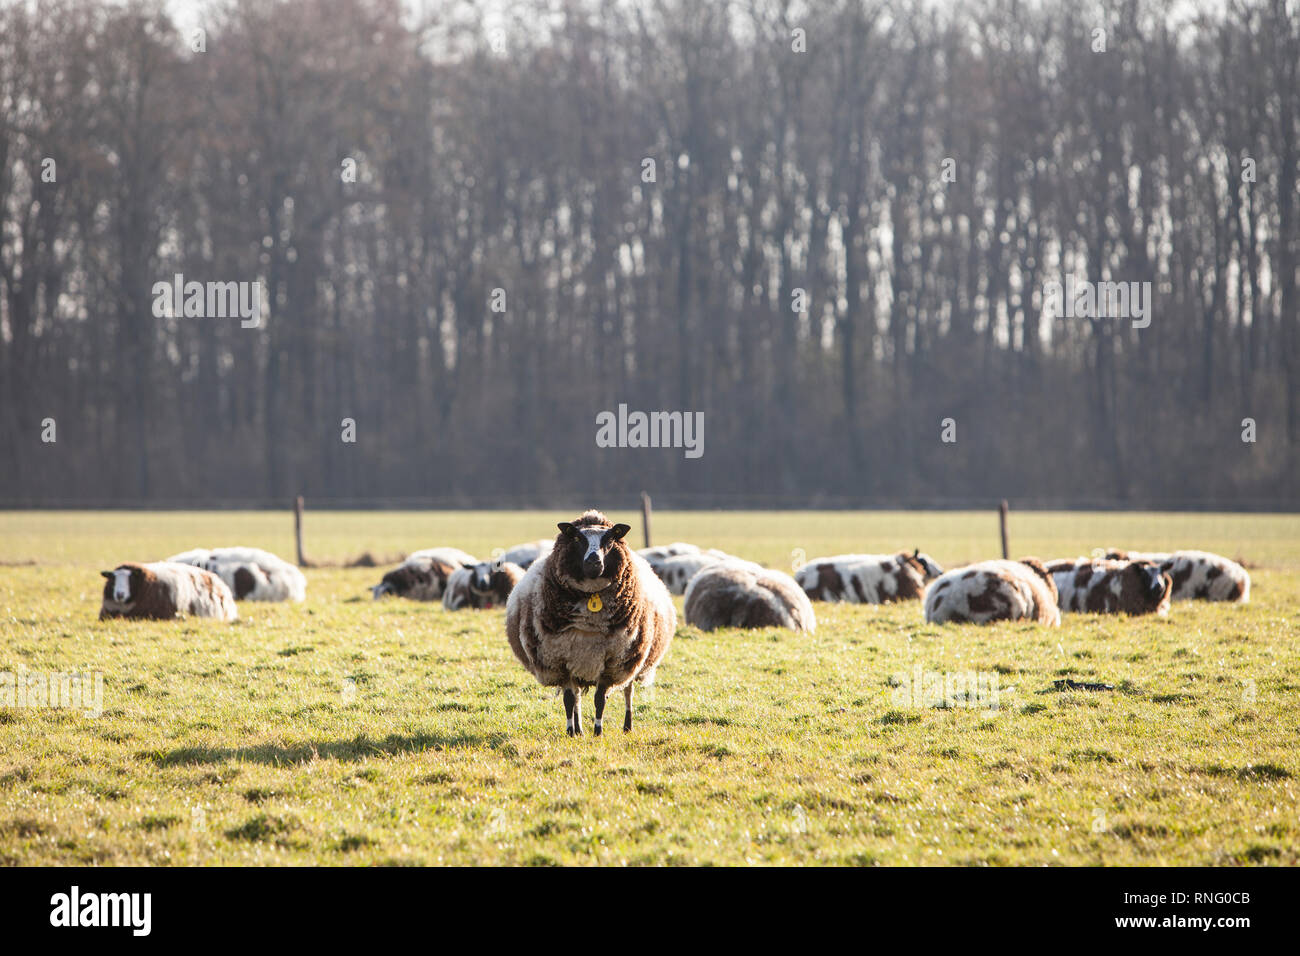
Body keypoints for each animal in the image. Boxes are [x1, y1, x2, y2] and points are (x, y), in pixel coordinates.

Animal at [506, 510, 676, 736]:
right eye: (577, 539)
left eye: (610, 539)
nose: (594, 563)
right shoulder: (561, 661)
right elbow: (569, 700)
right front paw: (571, 731)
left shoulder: (611, 662)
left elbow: (599, 700)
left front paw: (598, 731)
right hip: (578, 662)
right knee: (577, 696)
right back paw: (578, 729)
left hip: (631, 661)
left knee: (628, 692)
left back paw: (627, 726)